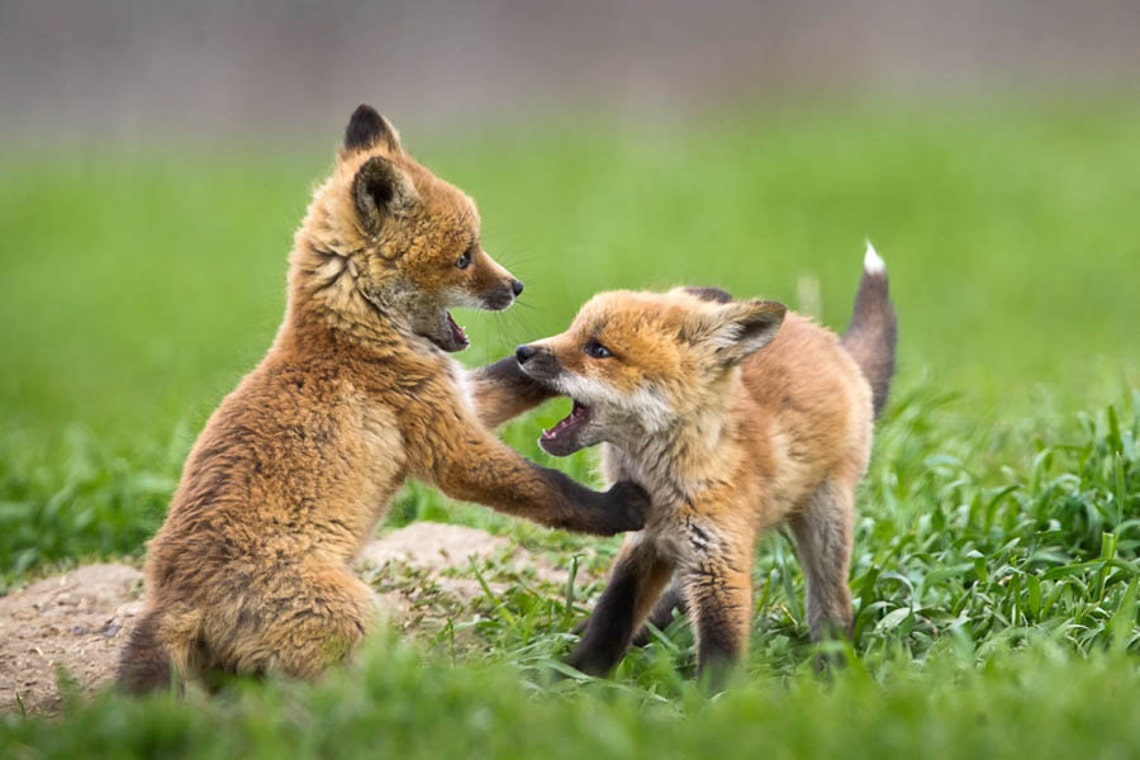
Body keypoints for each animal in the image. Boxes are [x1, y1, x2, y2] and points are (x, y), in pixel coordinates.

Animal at [115, 105, 649, 694]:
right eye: (465, 257)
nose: (516, 287)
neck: (353, 338)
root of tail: (172, 599)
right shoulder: (445, 441)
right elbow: (547, 487)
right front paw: (619, 508)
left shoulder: (457, 396)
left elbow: (514, 375)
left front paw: (555, 354)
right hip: (354, 620)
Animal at [514, 245, 897, 688]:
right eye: (572, 331)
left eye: (598, 349)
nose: (521, 352)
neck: (661, 482)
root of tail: (830, 341)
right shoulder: (645, 542)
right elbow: (610, 621)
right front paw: (574, 677)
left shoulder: (718, 558)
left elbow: (719, 648)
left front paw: (712, 702)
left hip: (826, 523)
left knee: (831, 605)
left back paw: (833, 671)